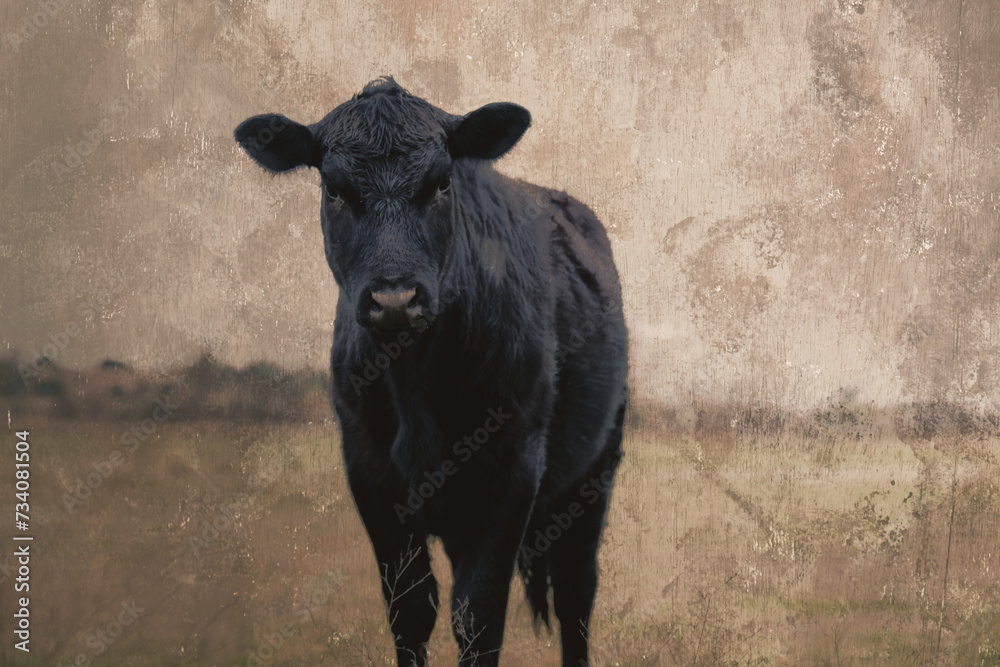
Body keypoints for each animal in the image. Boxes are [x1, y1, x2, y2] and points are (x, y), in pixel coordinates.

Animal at [234, 77, 628, 667]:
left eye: (441, 183)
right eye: (334, 190)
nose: (395, 299)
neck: (415, 382)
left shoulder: (514, 467)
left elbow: (479, 616)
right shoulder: (370, 473)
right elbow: (411, 609)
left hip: (594, 472)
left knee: (576, 593)